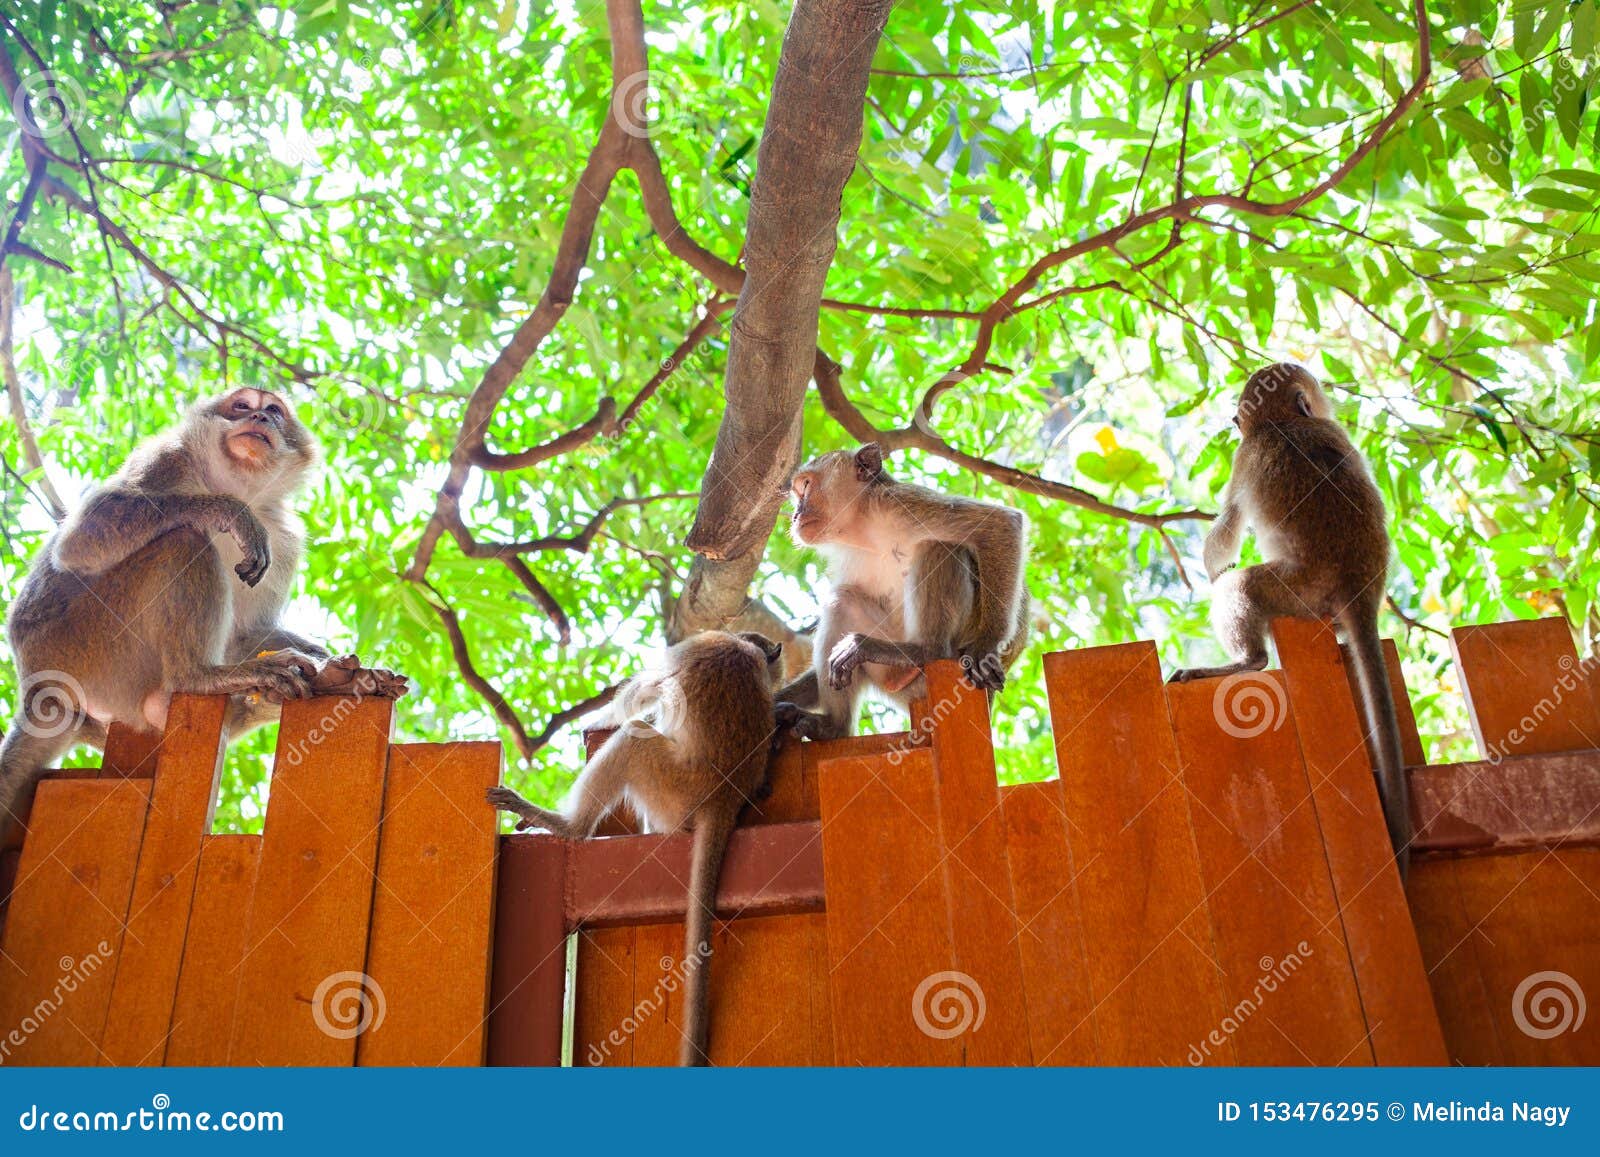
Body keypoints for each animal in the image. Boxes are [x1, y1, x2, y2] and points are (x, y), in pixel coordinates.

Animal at [0, 387, 406, 848]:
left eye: (274, 412)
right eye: (242, 406)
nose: (260, 418)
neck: (234, 483)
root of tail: (37, 686)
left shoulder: (285, 537)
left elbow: (250, 633)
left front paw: (342, 669)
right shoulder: (167, 457)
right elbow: (81, 539)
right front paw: (229, 512)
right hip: (88, 648)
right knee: (184, 539)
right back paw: (200, 675)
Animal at [772, 442, 1029, 741]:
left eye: (806, 486)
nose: (795, 515)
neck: (865, 528)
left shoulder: (902, 504)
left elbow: (1000, 524)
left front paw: (987, 645)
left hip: (934, 672)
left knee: (939, 547)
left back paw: (925, 650)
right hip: (895, 680)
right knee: (843, 601)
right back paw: (833, 727)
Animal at [1169, 363, 1411, 875]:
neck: (1279, 422)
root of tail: (1358, 588)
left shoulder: (1242, 458)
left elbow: (1226, 530)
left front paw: (1212, 567)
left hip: (1295, 592)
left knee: (1239, 589)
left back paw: (1247, 660)